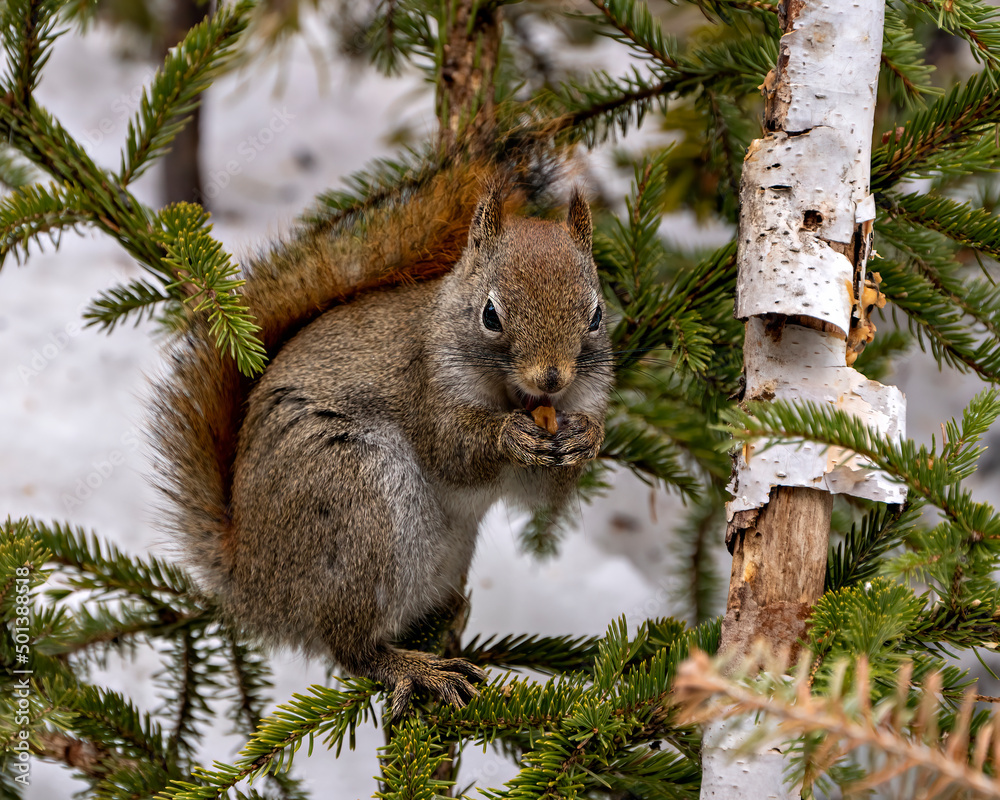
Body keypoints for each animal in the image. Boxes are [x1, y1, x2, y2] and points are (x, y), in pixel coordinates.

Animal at [152, 166, 614, 720]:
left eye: (596, 315)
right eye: (490, 315)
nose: (551, 377)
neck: (516, 397)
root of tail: (254, 582)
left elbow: (544, 494)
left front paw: (588, 435)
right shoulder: (427, 387)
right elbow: (452, 451)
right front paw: (508, 435)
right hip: (357, 498)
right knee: (351, 648)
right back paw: (416, 669)